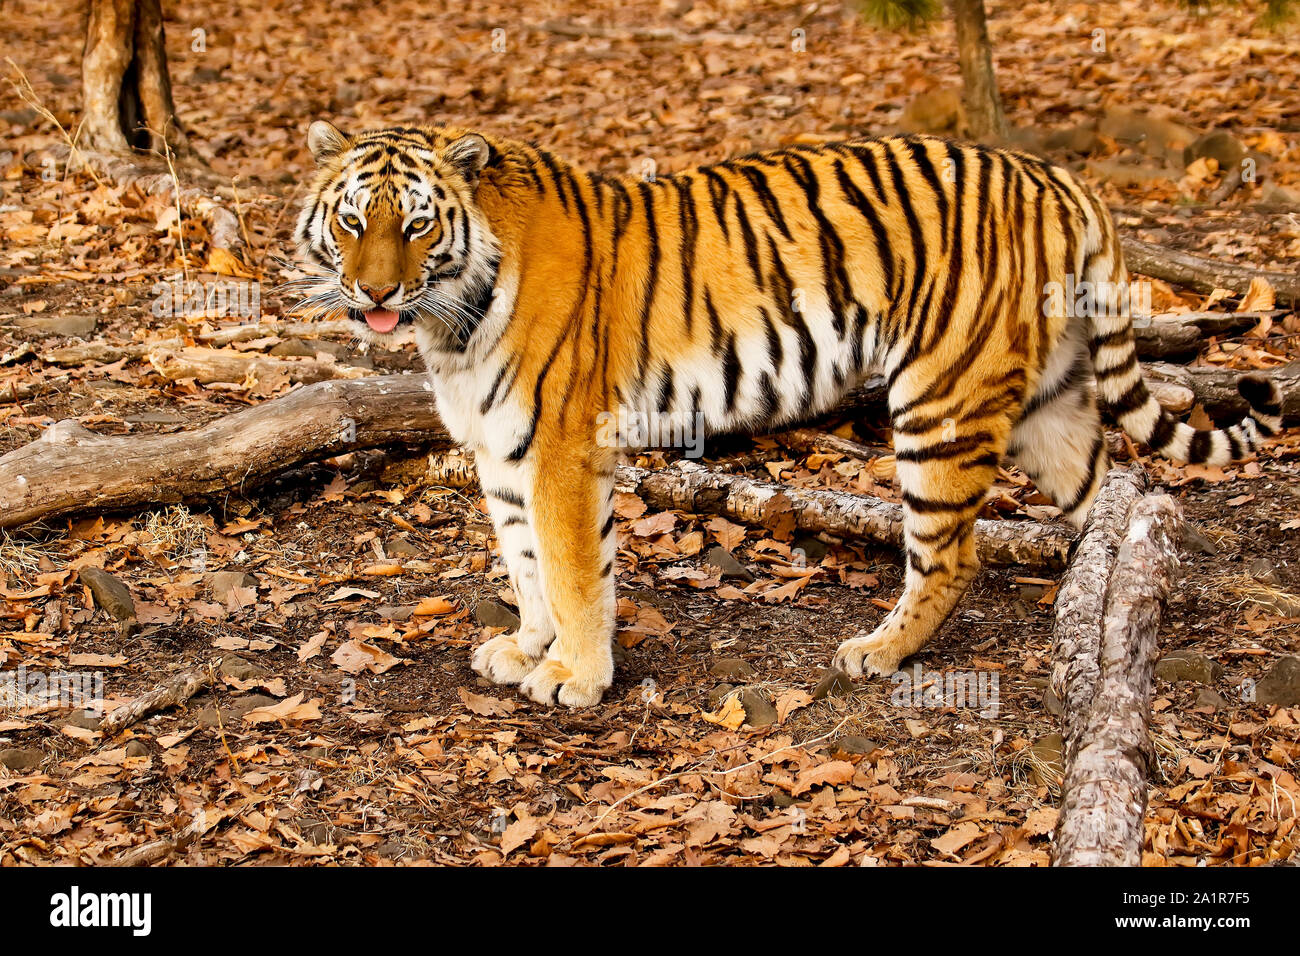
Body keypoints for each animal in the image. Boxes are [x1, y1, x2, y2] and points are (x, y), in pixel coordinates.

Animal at [294, 120, 1282, 708]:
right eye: (352, 222)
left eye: (417, 225)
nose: (374, 293)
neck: (447, 326)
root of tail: (1059, 178)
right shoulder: (503, 449)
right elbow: (525, 561)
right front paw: (527, 647)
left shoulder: (562, 448)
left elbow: (572, 570)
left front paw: (575, 675)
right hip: (1049, 400)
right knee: (1113, 492)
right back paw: (1102, 596)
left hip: (941, 395)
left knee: (951, 553)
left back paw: (879, 652)